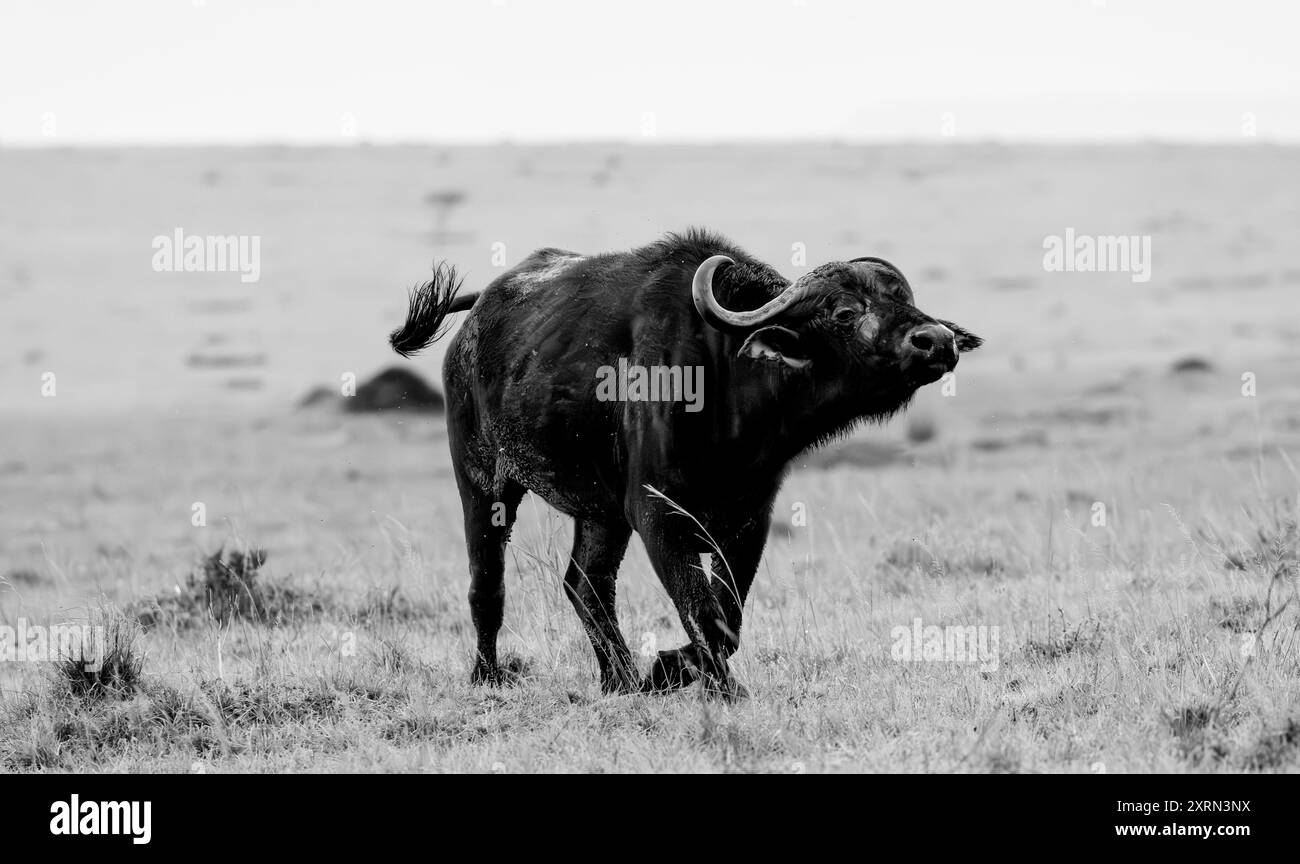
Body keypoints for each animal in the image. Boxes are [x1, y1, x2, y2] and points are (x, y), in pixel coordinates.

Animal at [390, 229, 982, 697]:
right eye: (844, 311)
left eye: (903, 298)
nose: (937, 340)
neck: (724, 378)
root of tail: (477, 317)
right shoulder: (658, 516)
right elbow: (701, 608)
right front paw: (709, 684)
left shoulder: (750, 519)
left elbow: (729, 616)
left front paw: (669, 670)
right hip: (483, 485)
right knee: (487, 584)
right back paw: (487, 676)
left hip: (601, 515)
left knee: (586, 585)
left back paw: (620, 679)